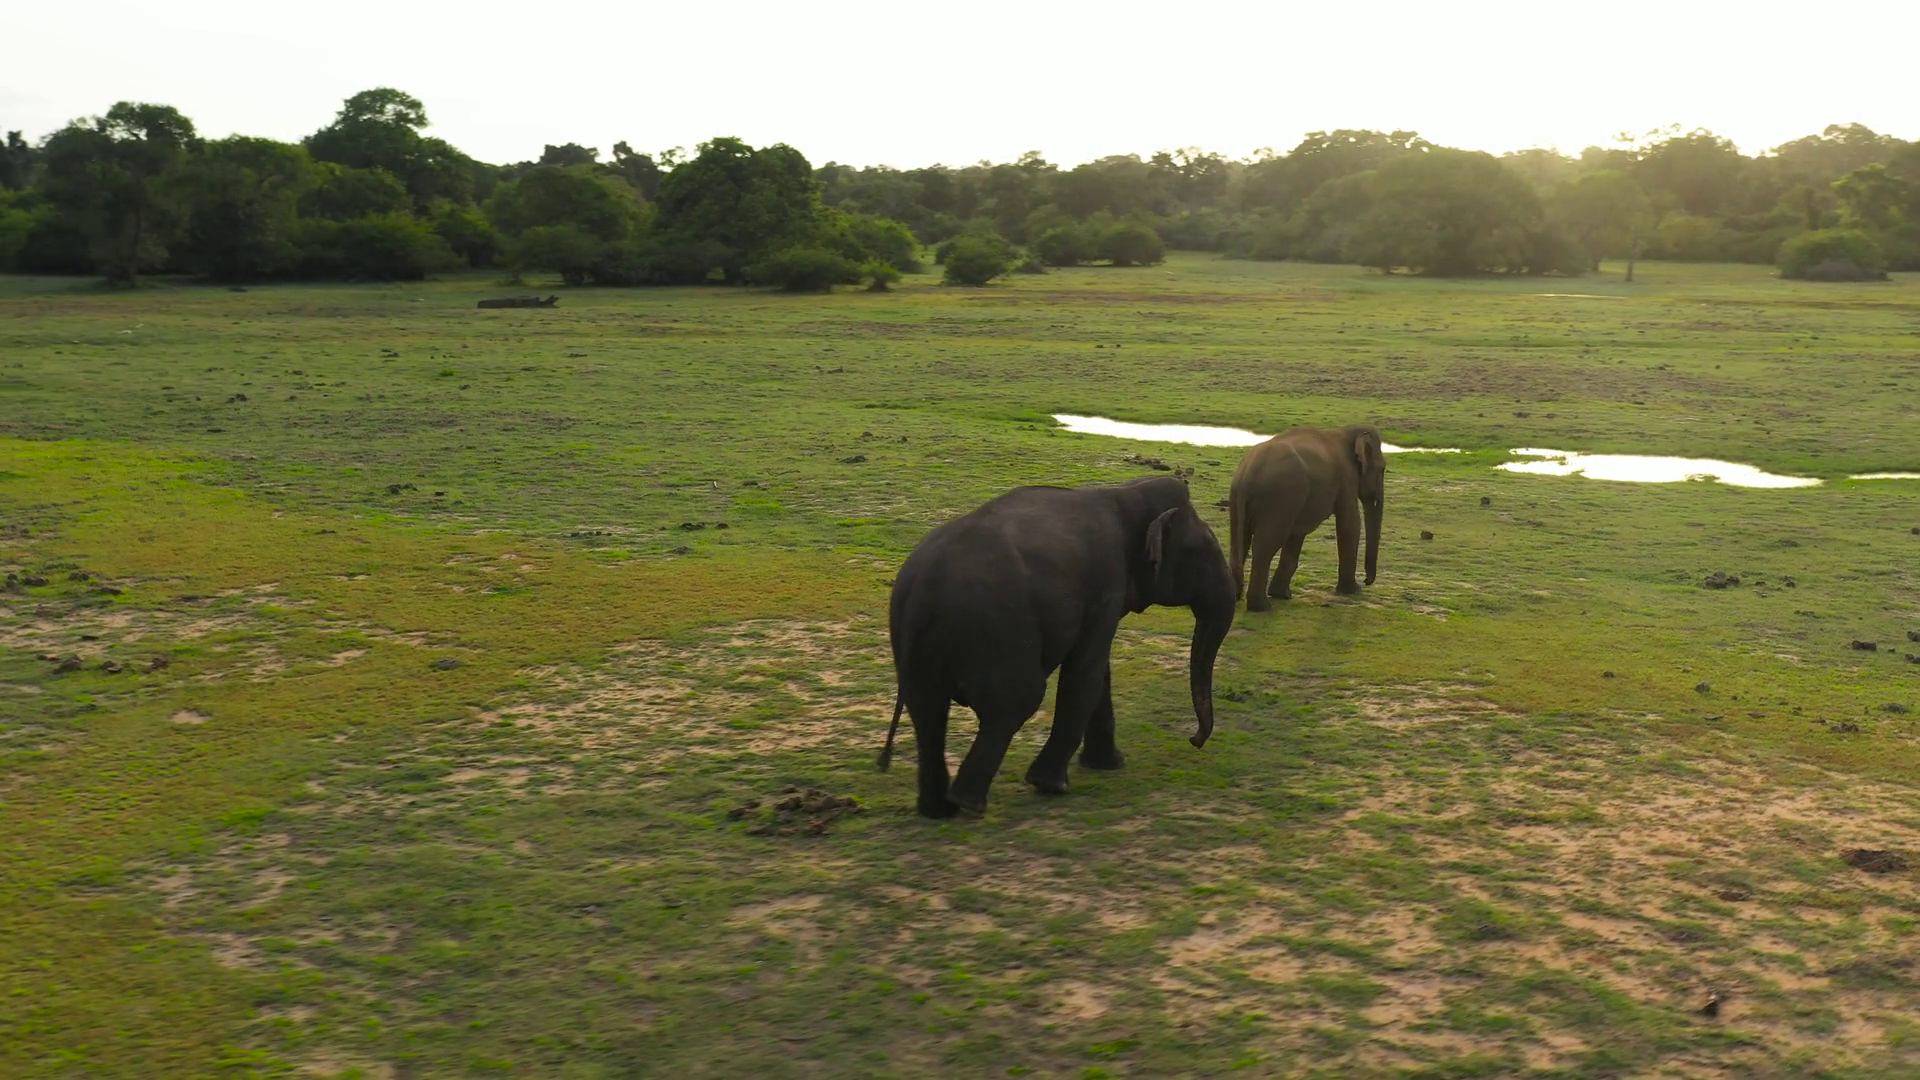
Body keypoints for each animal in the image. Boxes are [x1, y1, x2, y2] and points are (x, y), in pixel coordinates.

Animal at [877, 475, 1237, 819]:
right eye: (1204, 551)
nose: (1195, 740)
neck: (1125, 492)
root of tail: (923, 589)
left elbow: (1097, 669)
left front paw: (1109, 764)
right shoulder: (1107, 582)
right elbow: (1087, 674)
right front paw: (1054, 785)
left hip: (917, 643)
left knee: (928, 712)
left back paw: (939, 811)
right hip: (995, 632)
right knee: (1017, 700)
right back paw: (969, 803)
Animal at [1227, 424, 1384, 612]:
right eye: (1382, 468)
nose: (1367, 581)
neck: (1347, 432)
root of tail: (1247, 473)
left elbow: (1297, 534)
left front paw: (1282, 595)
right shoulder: (1347, 478)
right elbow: (1350, 524)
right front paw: (1353, 591)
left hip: (1239, 499)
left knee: (1239, 543)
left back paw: (1234, 599)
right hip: (1278, 498)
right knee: (1264, 546)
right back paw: (1262, 607)